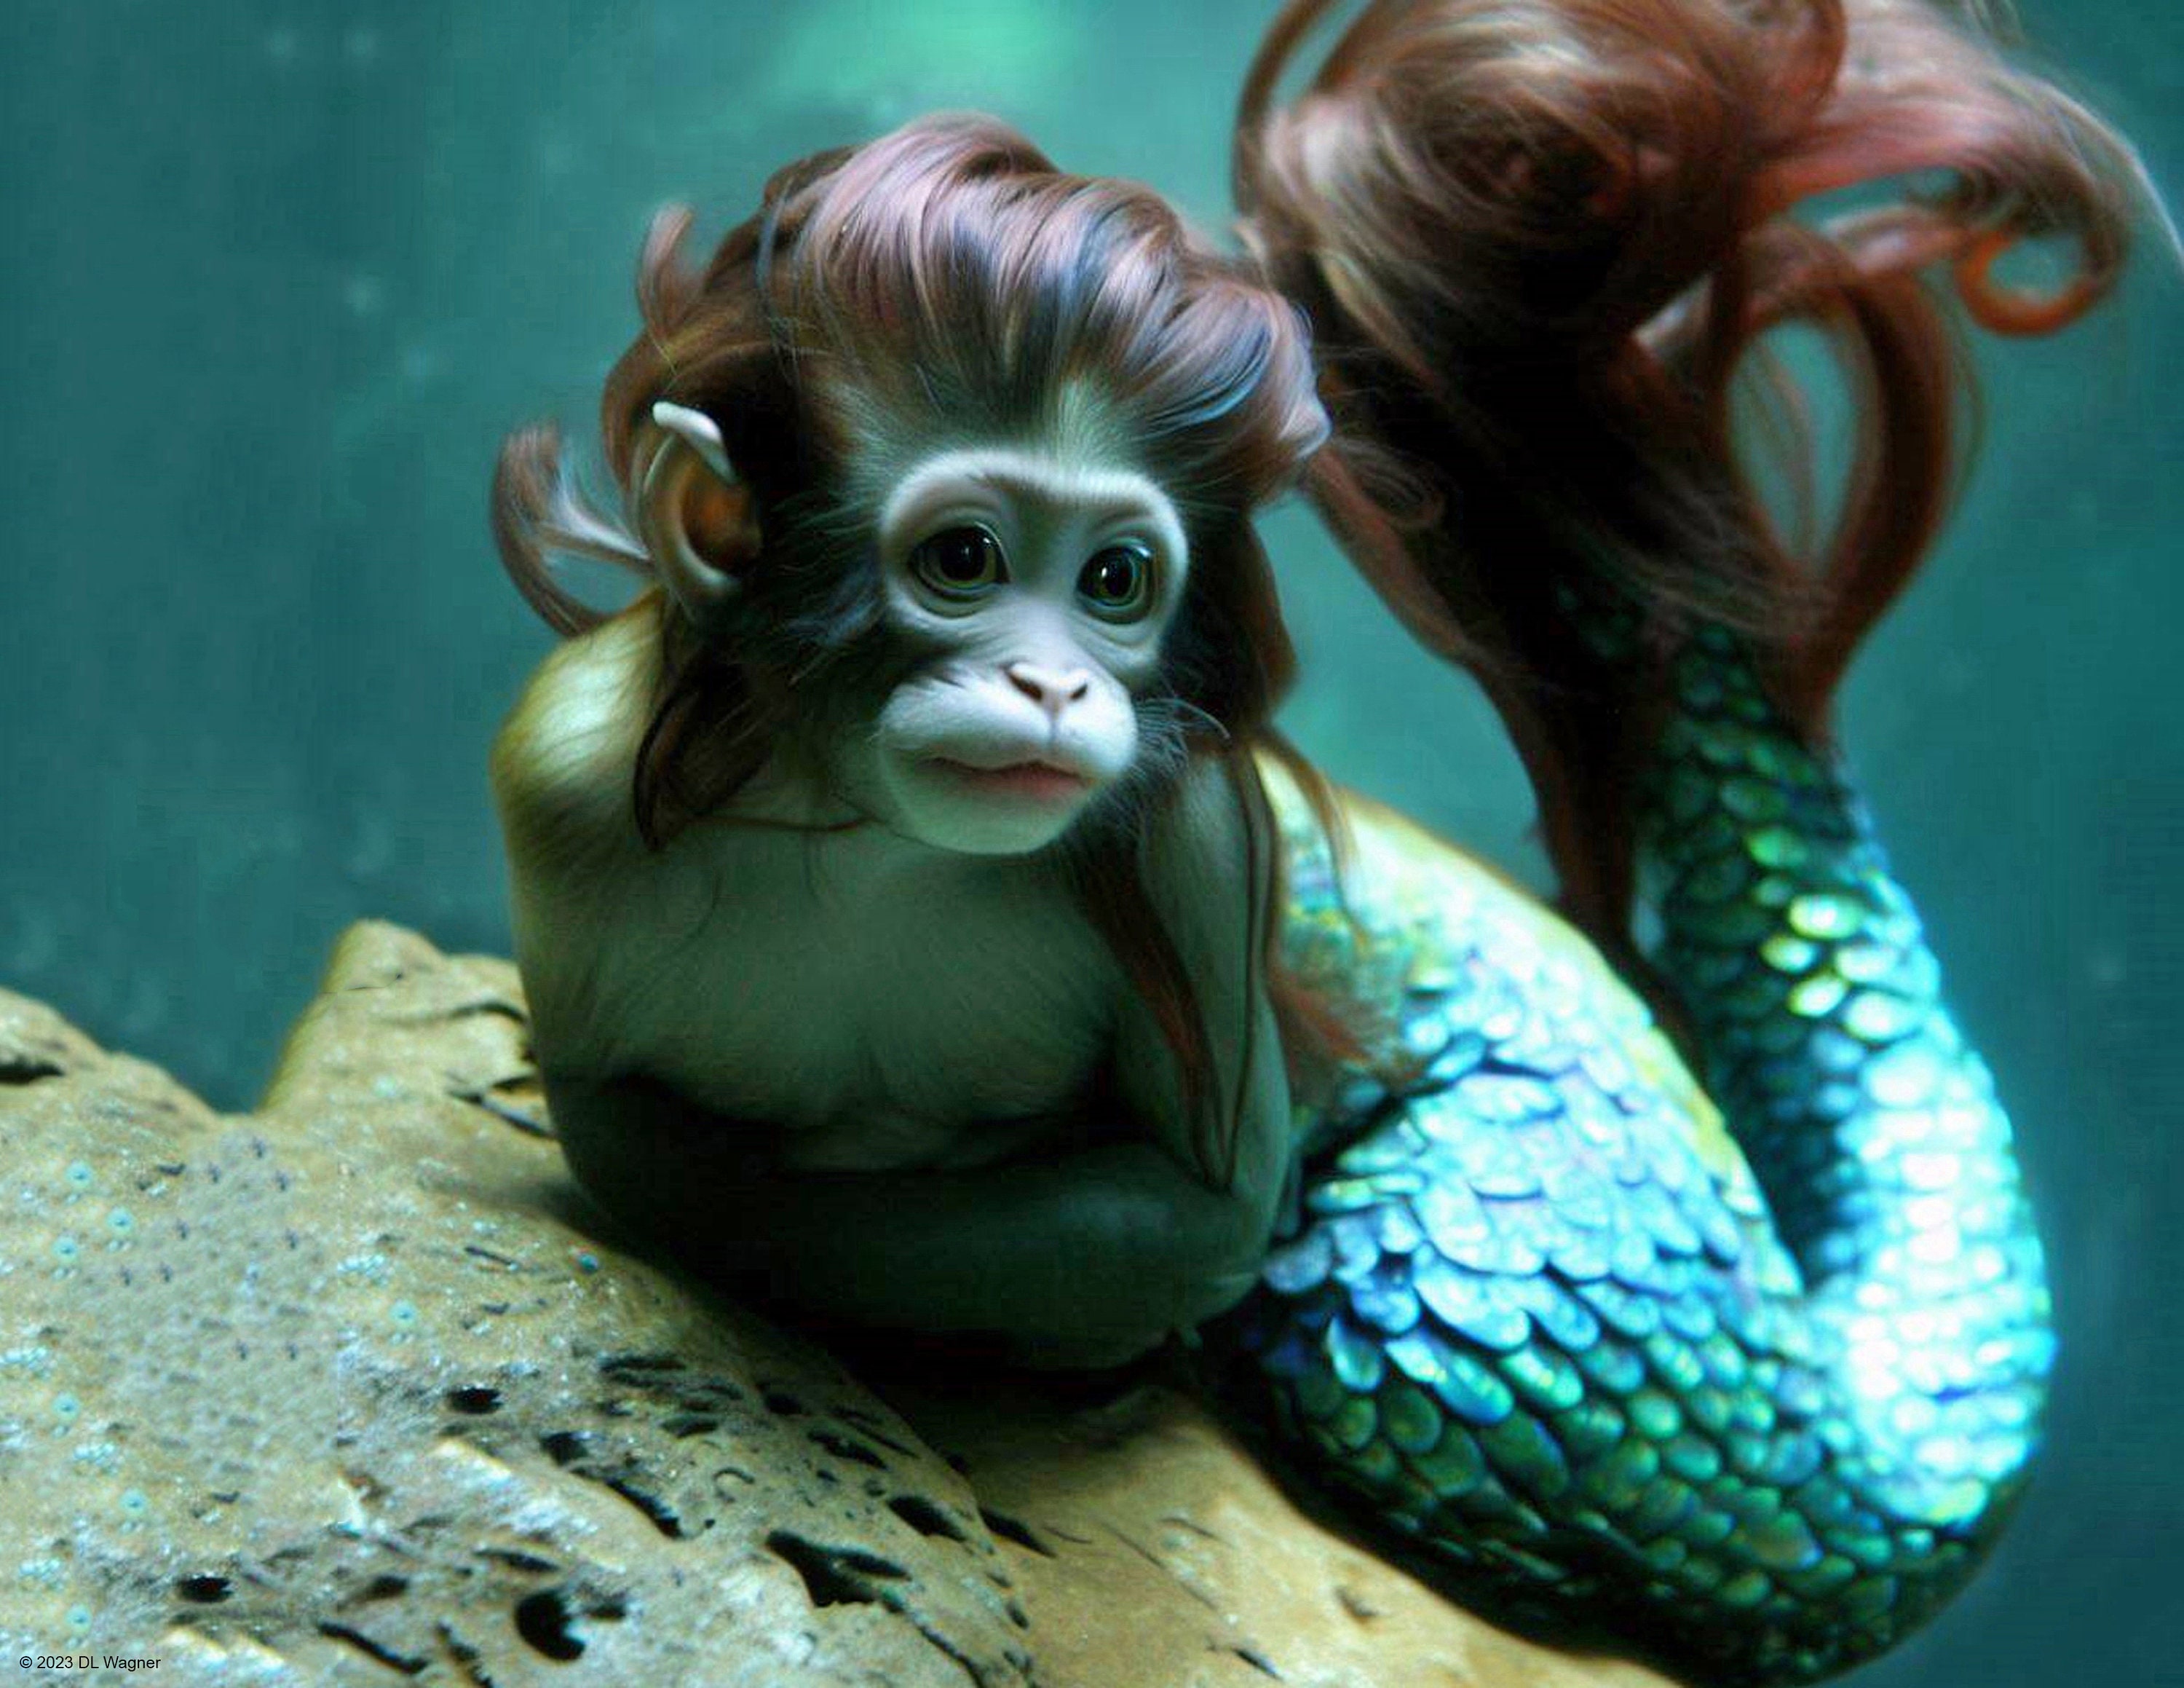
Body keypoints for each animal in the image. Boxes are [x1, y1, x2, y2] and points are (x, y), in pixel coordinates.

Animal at [489, 3, 2143, 1676]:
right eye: (962, 558)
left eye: (1117, 580)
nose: (1054, 683)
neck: (853, 831)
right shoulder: (561, 776)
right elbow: (621, 1126)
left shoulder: (1196, 845)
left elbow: (1185, 1207)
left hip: (1488, 1267)